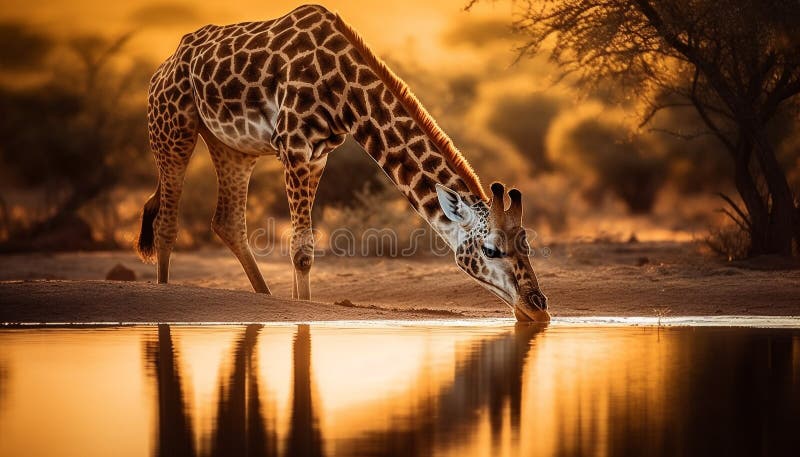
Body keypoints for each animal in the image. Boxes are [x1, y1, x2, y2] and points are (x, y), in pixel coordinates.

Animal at [136, 4, 550, 322]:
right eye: (491, 250)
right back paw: (164, 295)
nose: (539, 308)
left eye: (527, 245)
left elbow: (303, 247)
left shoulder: (318, 155)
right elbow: (301, 250)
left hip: (232, 147)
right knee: (167, 223)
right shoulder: (293, 145)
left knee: (227, 221)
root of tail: (162, 67)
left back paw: (263, 297)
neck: (346, 94)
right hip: (172, 128)